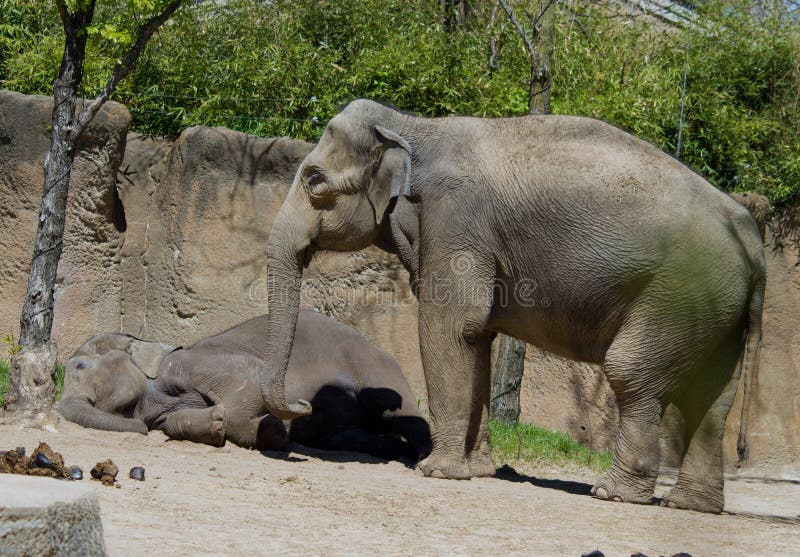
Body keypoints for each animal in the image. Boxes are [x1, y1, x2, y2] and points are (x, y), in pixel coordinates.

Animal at [59, 310, 432, 462]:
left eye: (80, 366)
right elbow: (175, 422)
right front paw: (214, 423)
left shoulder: (200, 362)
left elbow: (249, 382)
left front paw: (275, 432)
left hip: (374, 367)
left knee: (403, 415)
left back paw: (425, 458)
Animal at [259, 99, 766, 514]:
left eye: (314, 181)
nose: (302, 404)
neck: (416, 126)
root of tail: (751, 235)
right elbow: (478, 339)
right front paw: (479, 470)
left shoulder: (457, 220)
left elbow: (449, 329)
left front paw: (436, 472)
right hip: (720, 310)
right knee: (712, 400)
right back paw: (691, 506)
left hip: (677, 295)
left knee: (631, 372)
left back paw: (614, 494)